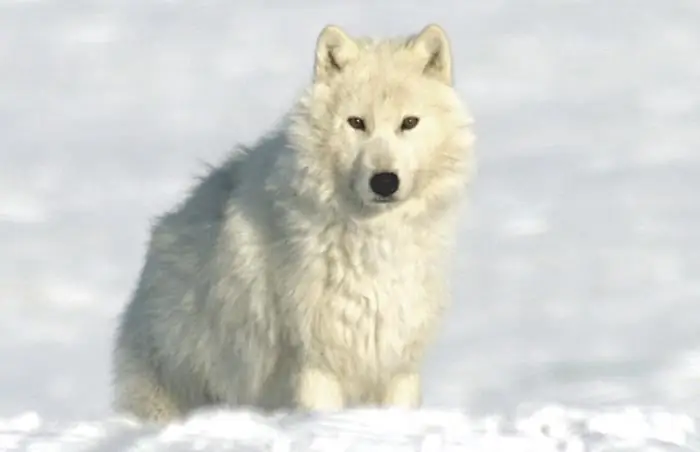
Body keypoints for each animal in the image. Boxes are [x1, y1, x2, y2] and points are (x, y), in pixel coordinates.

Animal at [112, 23, 476, 422]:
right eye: (357, 123)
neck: (374, 245)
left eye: (409, 123)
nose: (384, 181)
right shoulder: (315, 365)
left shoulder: (398, 365)